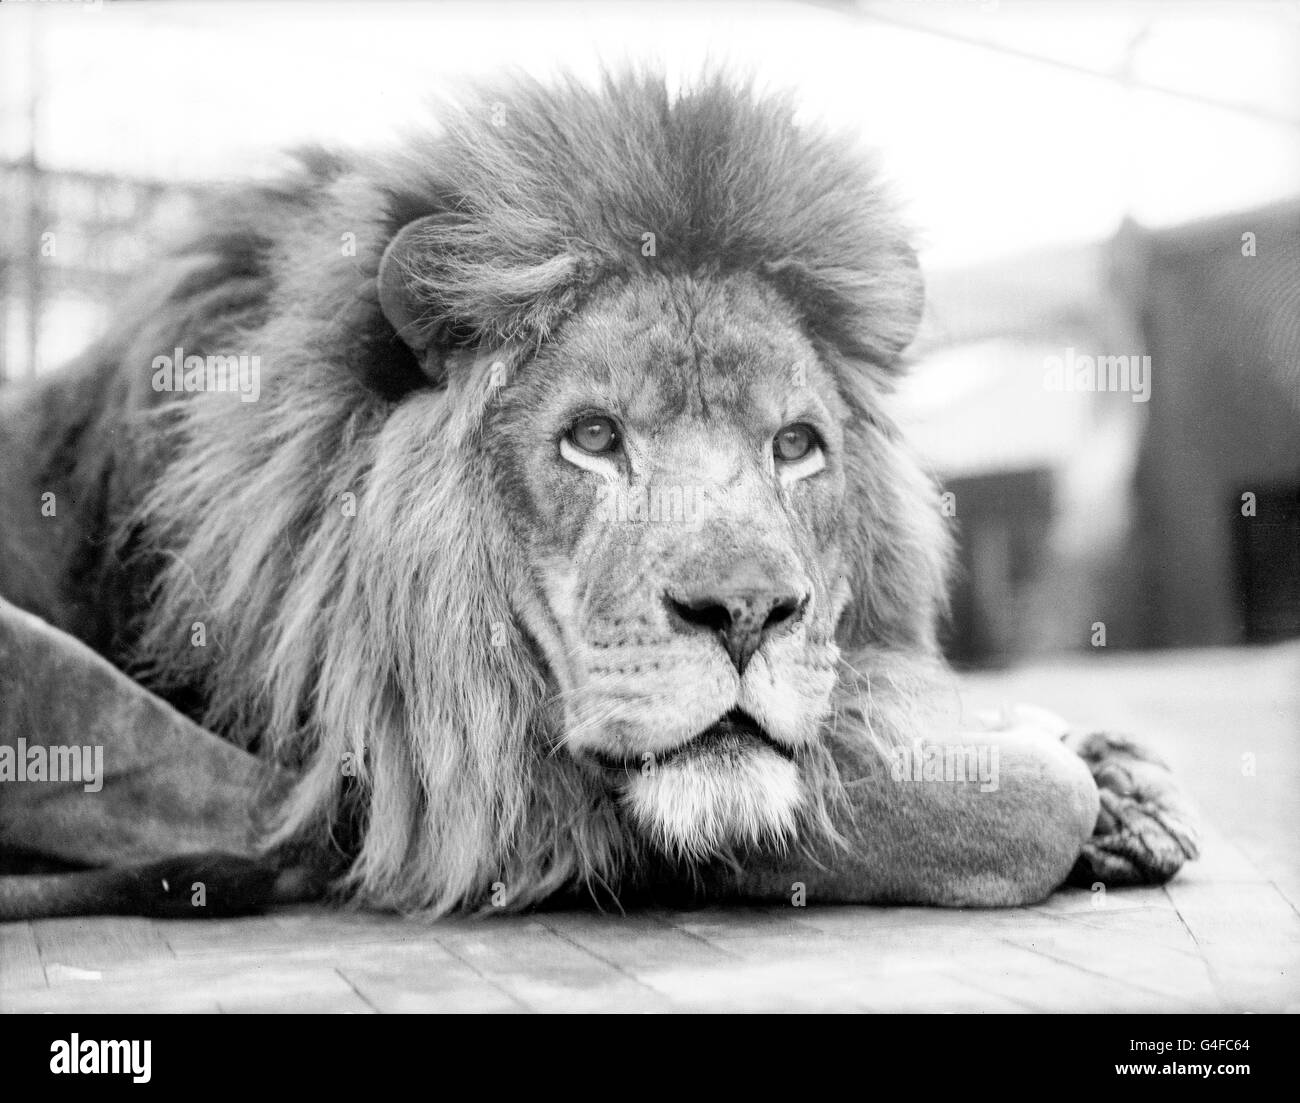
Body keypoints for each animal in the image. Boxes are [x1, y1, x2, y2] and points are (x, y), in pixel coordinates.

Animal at [0, 71, 1199, 920]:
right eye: (591, 438)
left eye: (796, 445)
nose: (746, 614)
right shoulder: (470, 794)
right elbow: (1016, 804)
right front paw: (1075, 780)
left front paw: (1115, 774)